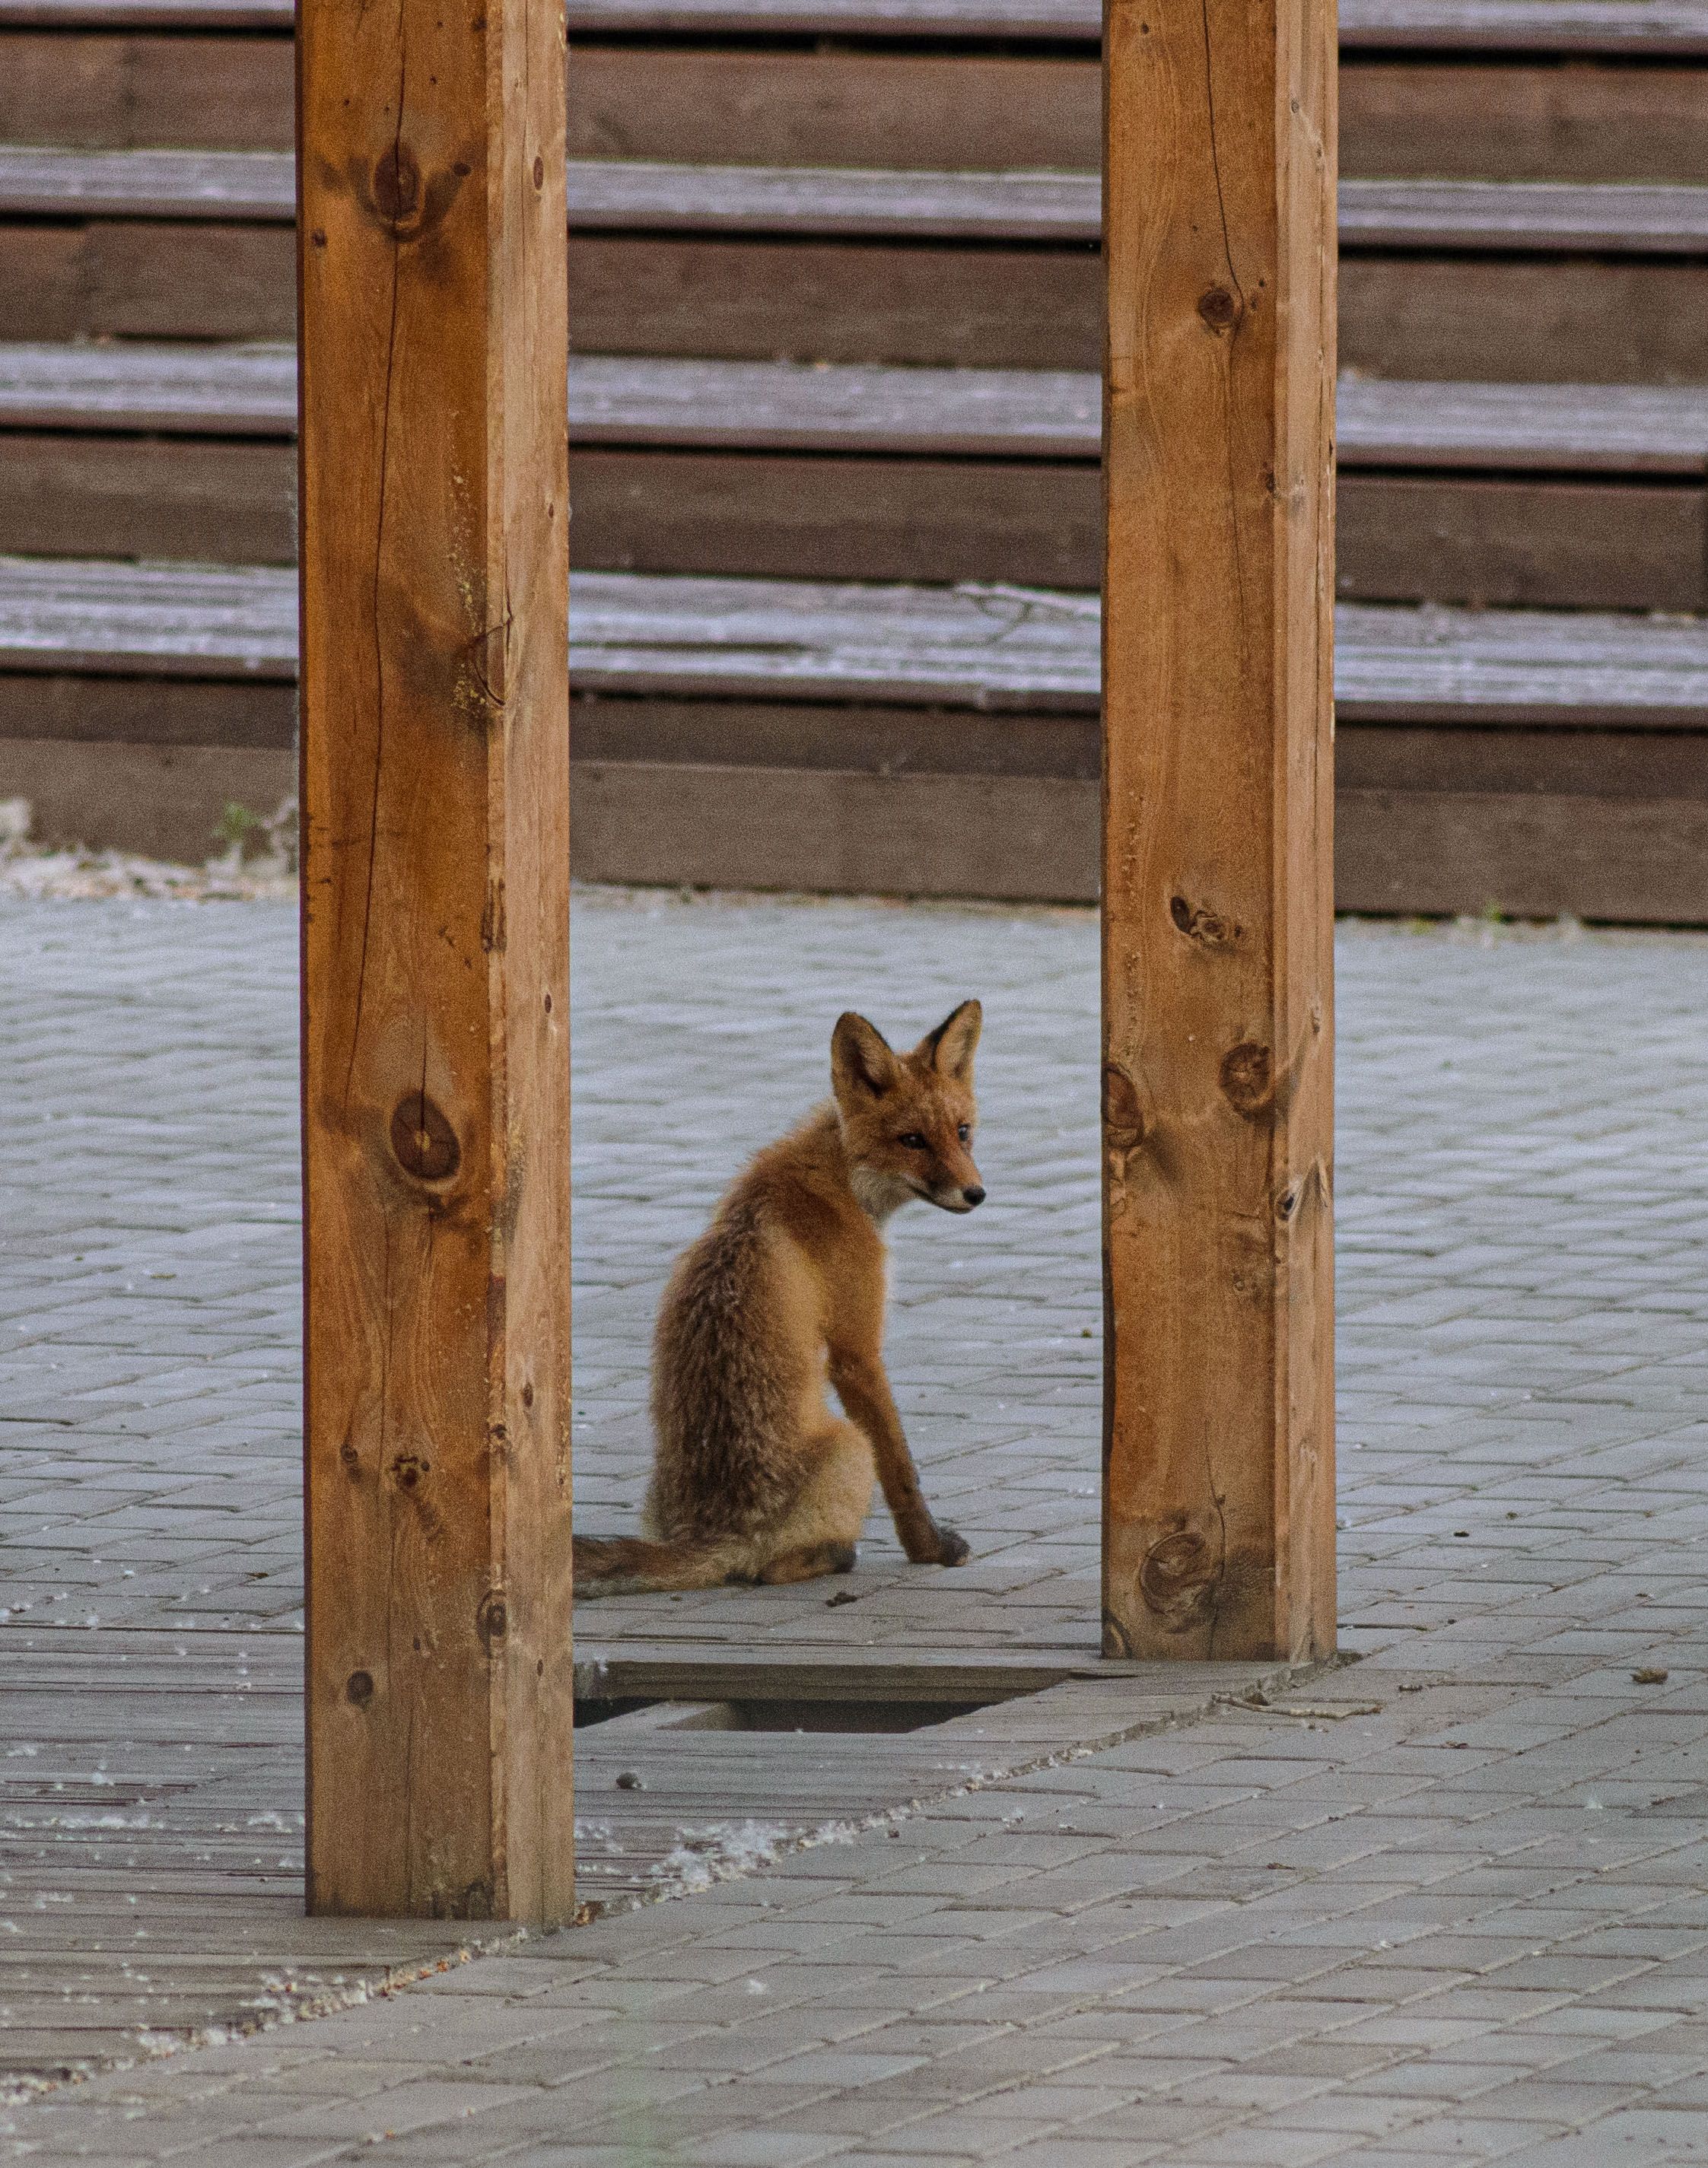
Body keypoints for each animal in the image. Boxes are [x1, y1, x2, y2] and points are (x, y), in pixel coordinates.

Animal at [572, 999, 985, 1596]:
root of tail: (710, 1536)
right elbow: (901, 1467)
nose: (976, 1194)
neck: (840, 1179)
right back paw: (833, 1556)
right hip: (848, 1444)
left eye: (963, 1132)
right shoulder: (856, 1352)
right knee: (769, 1571)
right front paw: (929, 1549)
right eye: (912, 1141)